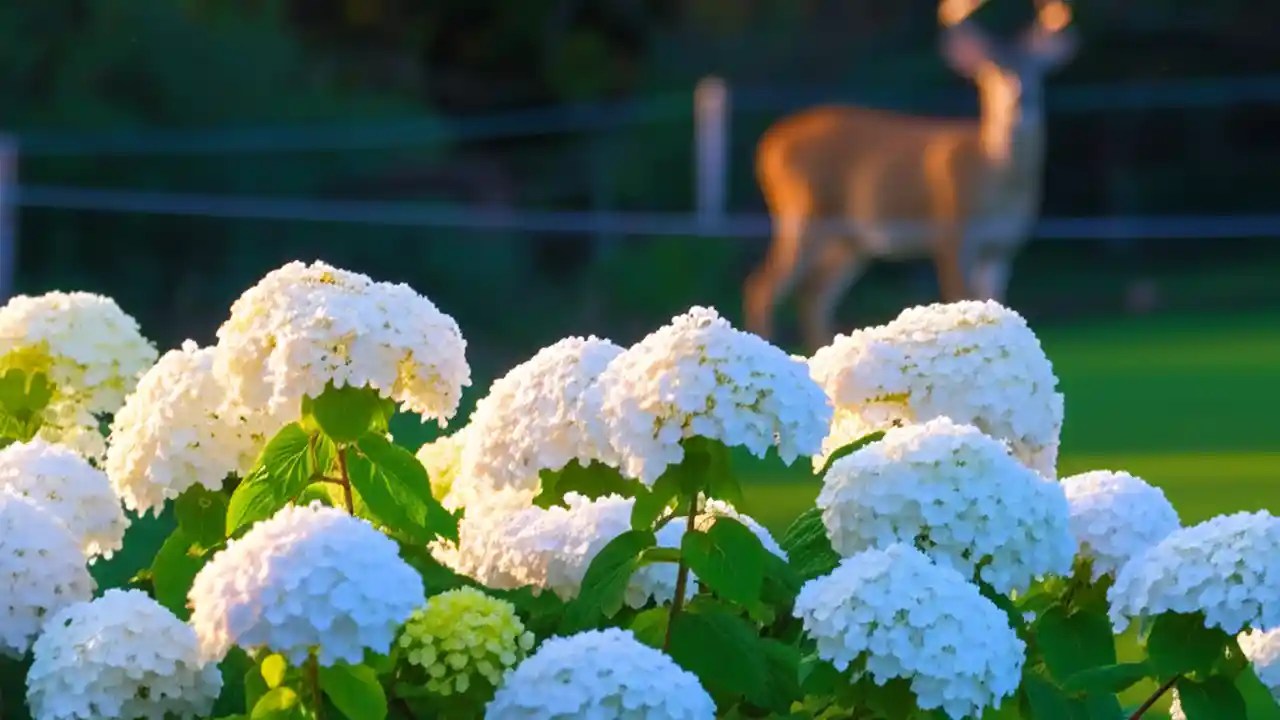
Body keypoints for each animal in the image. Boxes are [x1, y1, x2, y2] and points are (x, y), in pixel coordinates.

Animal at [743, 0, 1077, 352]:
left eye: (1038, 70)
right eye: (991, 70)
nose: (1020, 98)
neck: (997, 179)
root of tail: (768, 144)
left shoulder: (1002, 248)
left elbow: (996, 301)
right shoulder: (951, 233)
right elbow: (958, 296)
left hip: (849, 239)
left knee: (813, 296)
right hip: (804, 215)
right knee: (763, 286)